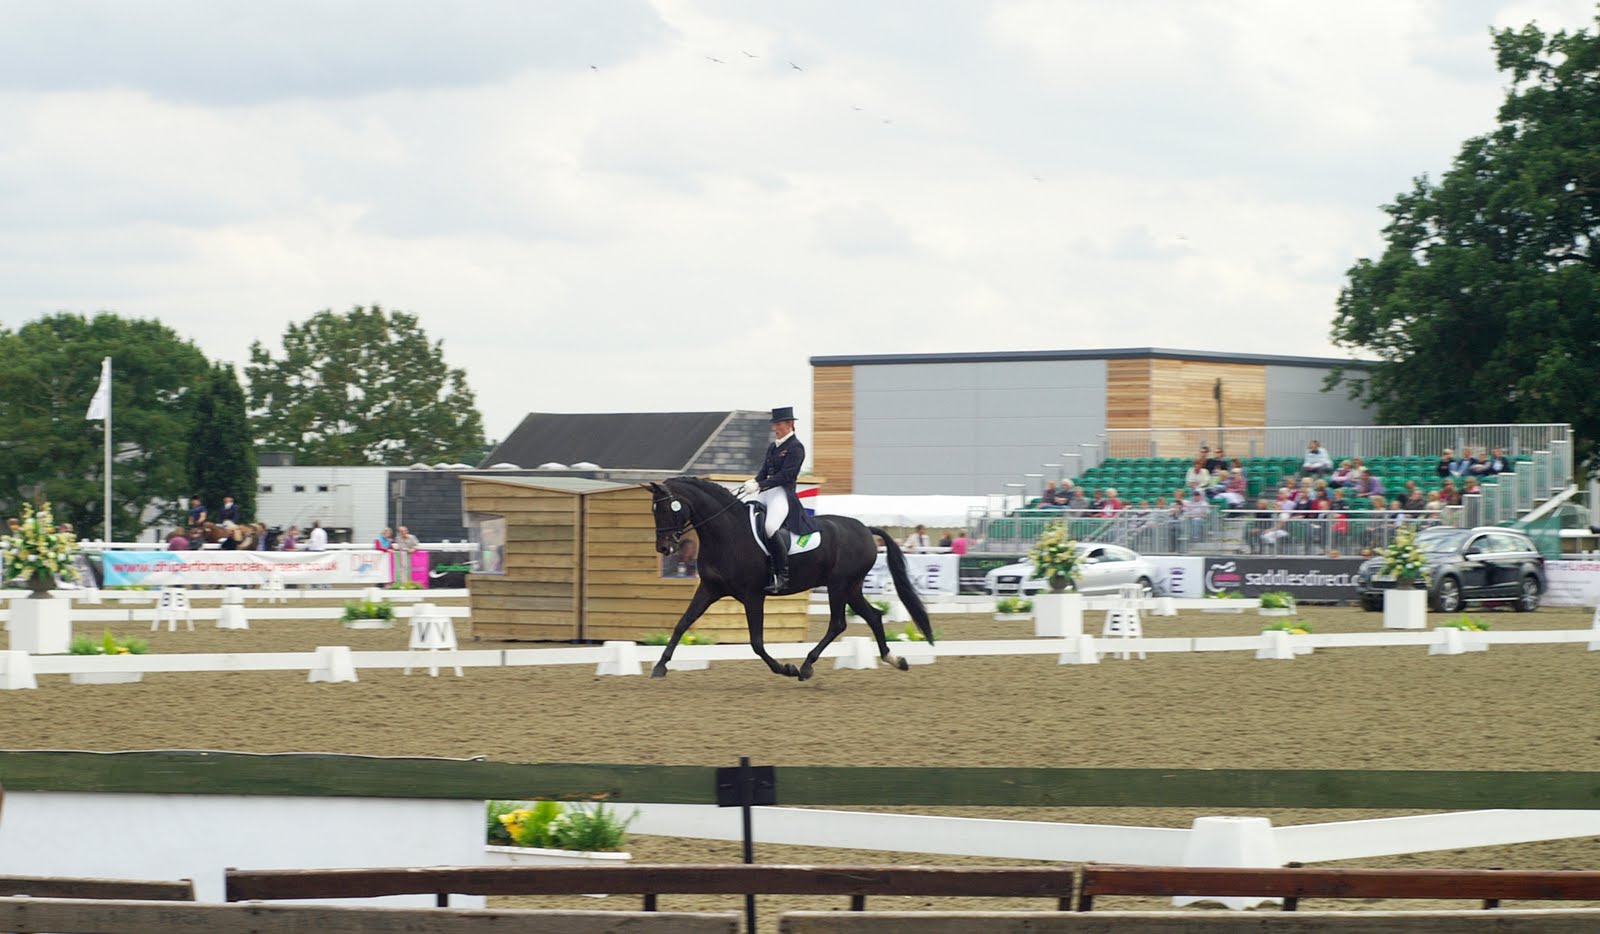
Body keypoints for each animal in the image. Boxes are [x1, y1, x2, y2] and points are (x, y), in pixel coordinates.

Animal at [646, 477, 935, 681]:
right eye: (653, 511)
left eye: (669, 509)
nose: (664, 548)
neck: (727, 533)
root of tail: (865, 528)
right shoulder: (709, 588)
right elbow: (682, 623)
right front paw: (659, 666)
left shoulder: (753, 596)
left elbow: (756, 642)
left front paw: (786, 668)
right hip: (851, 587)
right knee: (873, 616)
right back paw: (894, 659)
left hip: (838, 585)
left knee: (838, 624)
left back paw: (806, 667)